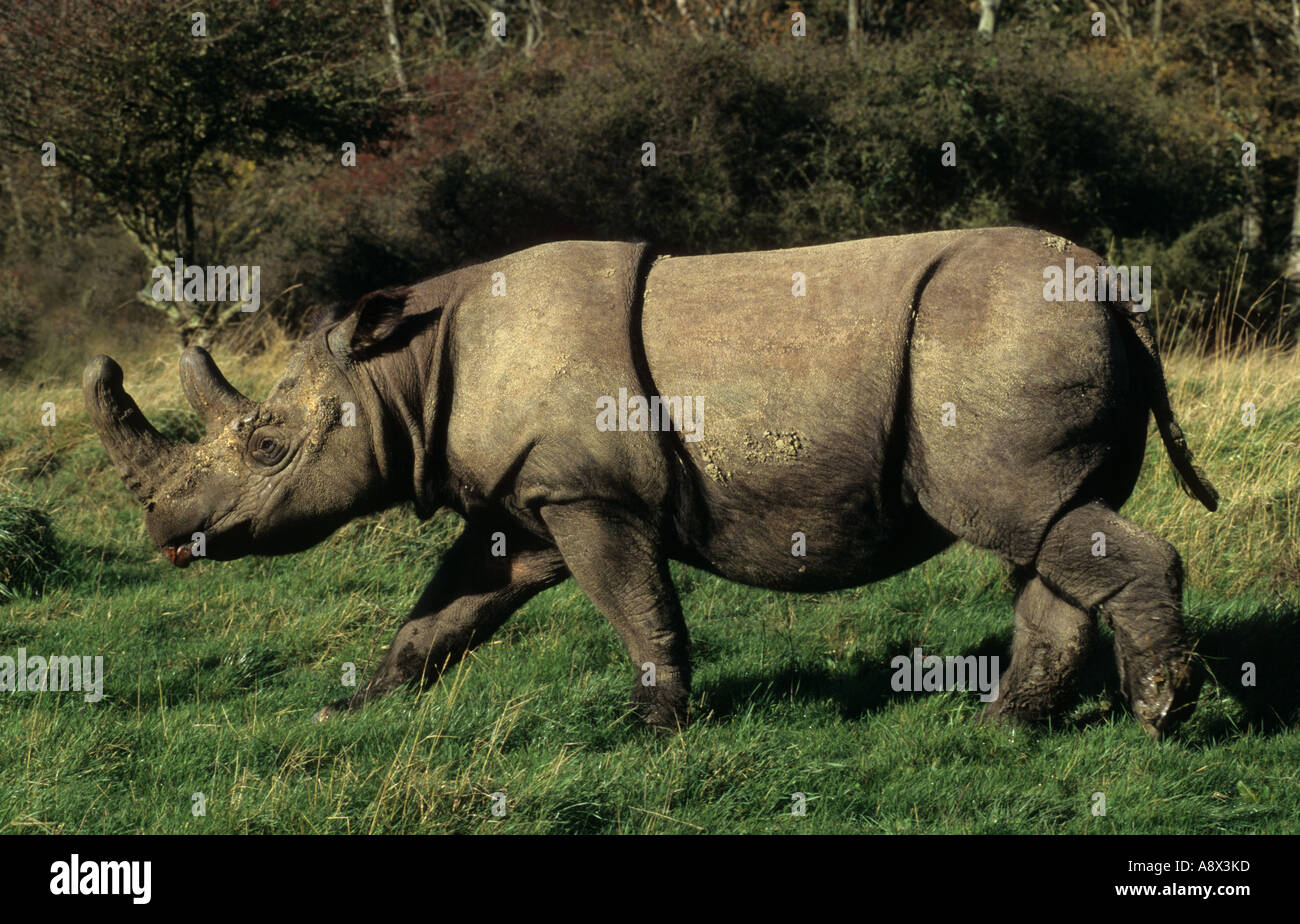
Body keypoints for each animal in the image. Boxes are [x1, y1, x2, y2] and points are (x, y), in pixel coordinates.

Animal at [83, 228, 1219, 738]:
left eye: (267, 447)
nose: (165, 532)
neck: (403, 370)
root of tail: (1116, 293)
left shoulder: (590, 494)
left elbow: (635, 604)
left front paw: (651, 728)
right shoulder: (524, 499)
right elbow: (442, 612)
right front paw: (354, 707)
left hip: (999, 338)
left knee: (1033, 520)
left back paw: (1159, 716)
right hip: (1026, 338)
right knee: (1047, 528)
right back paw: (1001, 728)